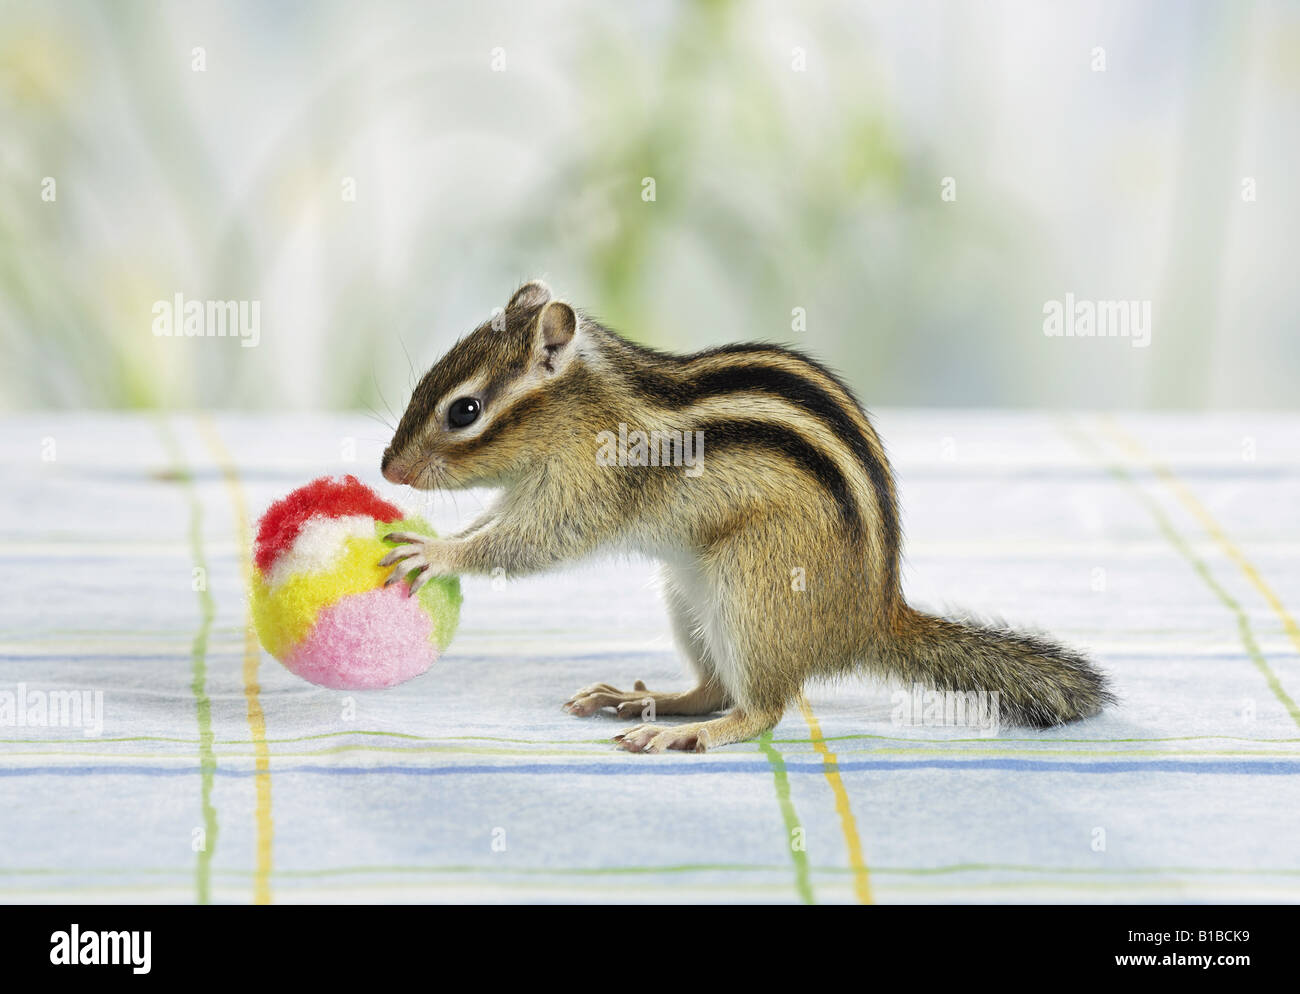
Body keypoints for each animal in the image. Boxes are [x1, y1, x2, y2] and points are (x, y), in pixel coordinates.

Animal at [379, 280, 1113, 753]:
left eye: (465, 411)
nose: (389, 470)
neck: (586, 404)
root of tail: (869, 620)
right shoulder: (528, 488)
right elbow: (492, 527)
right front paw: (435, 536)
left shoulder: (589, 487)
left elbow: (530, 543)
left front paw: (433, 553)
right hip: (689, 595)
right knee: (711, 685)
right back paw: (646, 701)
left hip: (752, 590)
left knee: (761, 709)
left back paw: (687, 732)